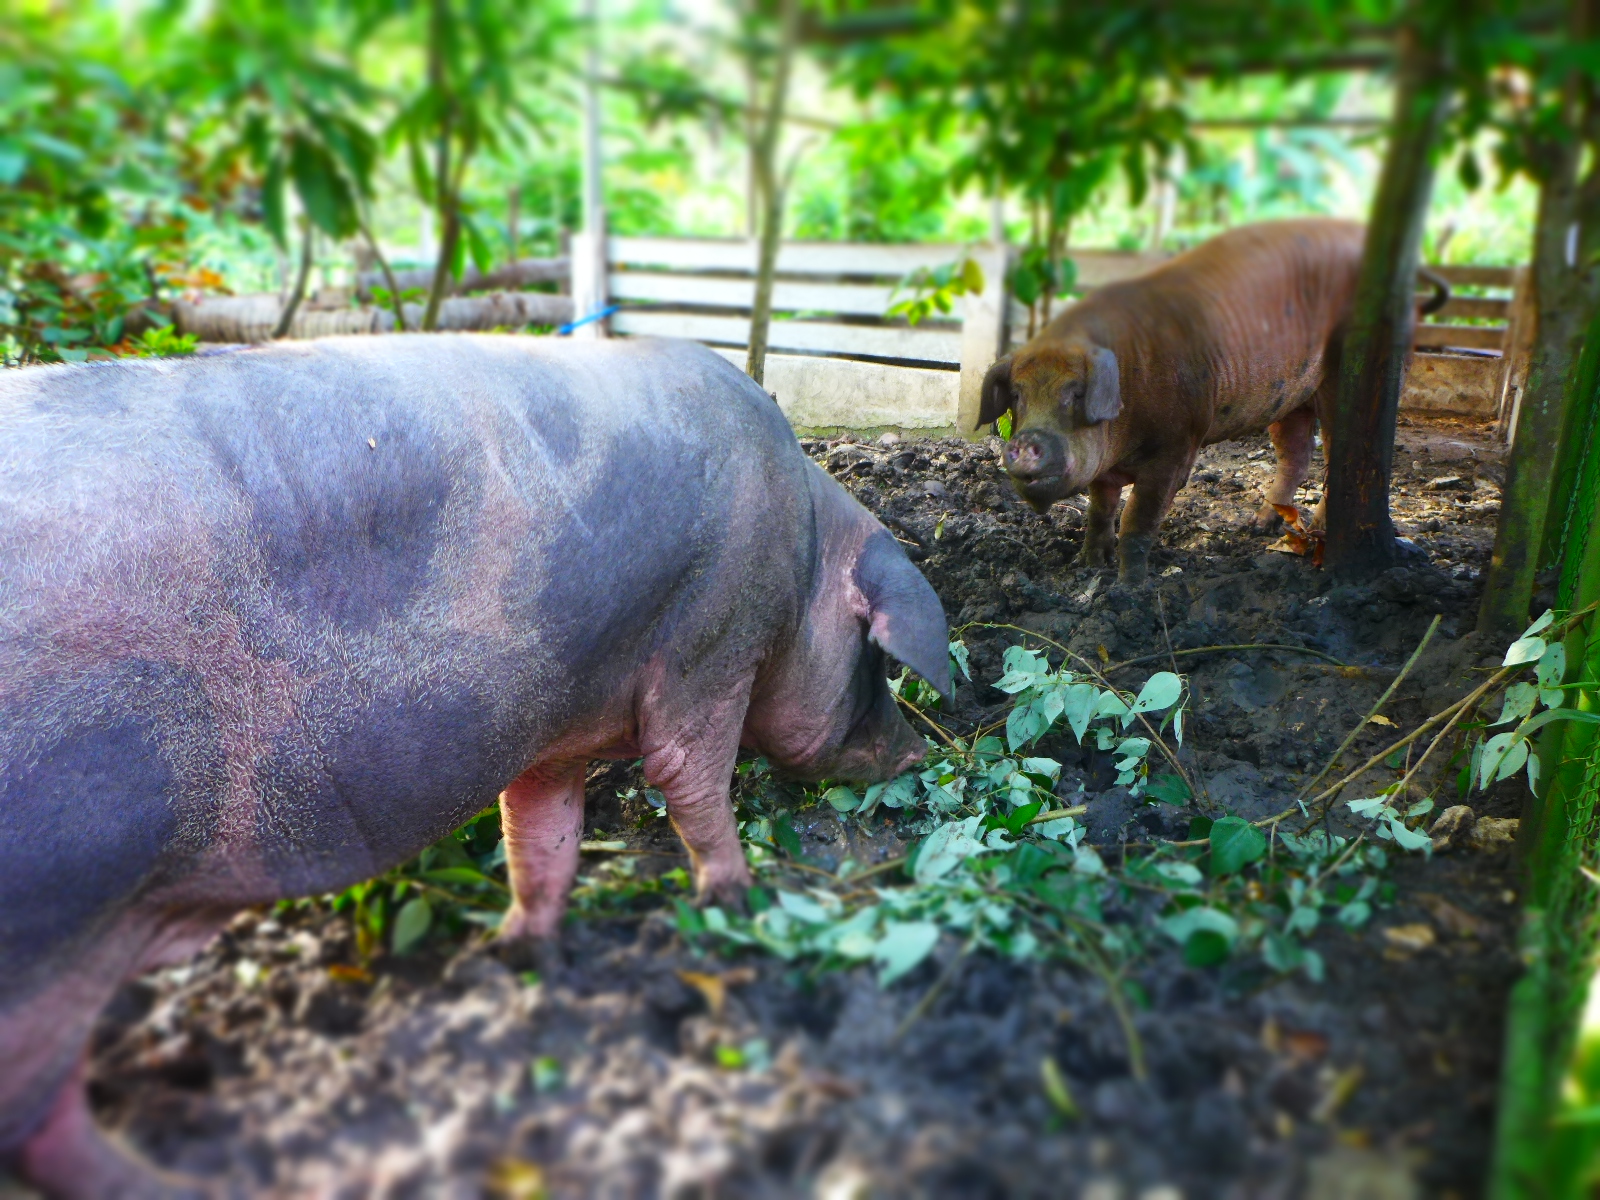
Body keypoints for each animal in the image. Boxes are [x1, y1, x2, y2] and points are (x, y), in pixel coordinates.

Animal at [0, 334, 950, 1198]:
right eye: (878, 661)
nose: (920, 750)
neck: (806, 549)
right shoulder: (715, 639)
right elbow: (690, 781)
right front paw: (738, 899)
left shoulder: (556, 727)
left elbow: (541, 834)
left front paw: (516, 954)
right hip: (55, 914)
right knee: (45, 1125)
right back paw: (177, 1186)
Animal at [978, 219, 1447, 583]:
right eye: (1017, 395)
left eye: (1075, 393)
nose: (1025, 443)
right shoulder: (1104, 468)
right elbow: (1099, 510)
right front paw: (1090, 565)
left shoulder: (1178, 446)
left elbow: (1137, 520)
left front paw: (1130, 587)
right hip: (1290, 399)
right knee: (1297, 455)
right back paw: (1260, 527)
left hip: (1355, 377)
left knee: (1341, 459)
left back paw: (1314, 535)